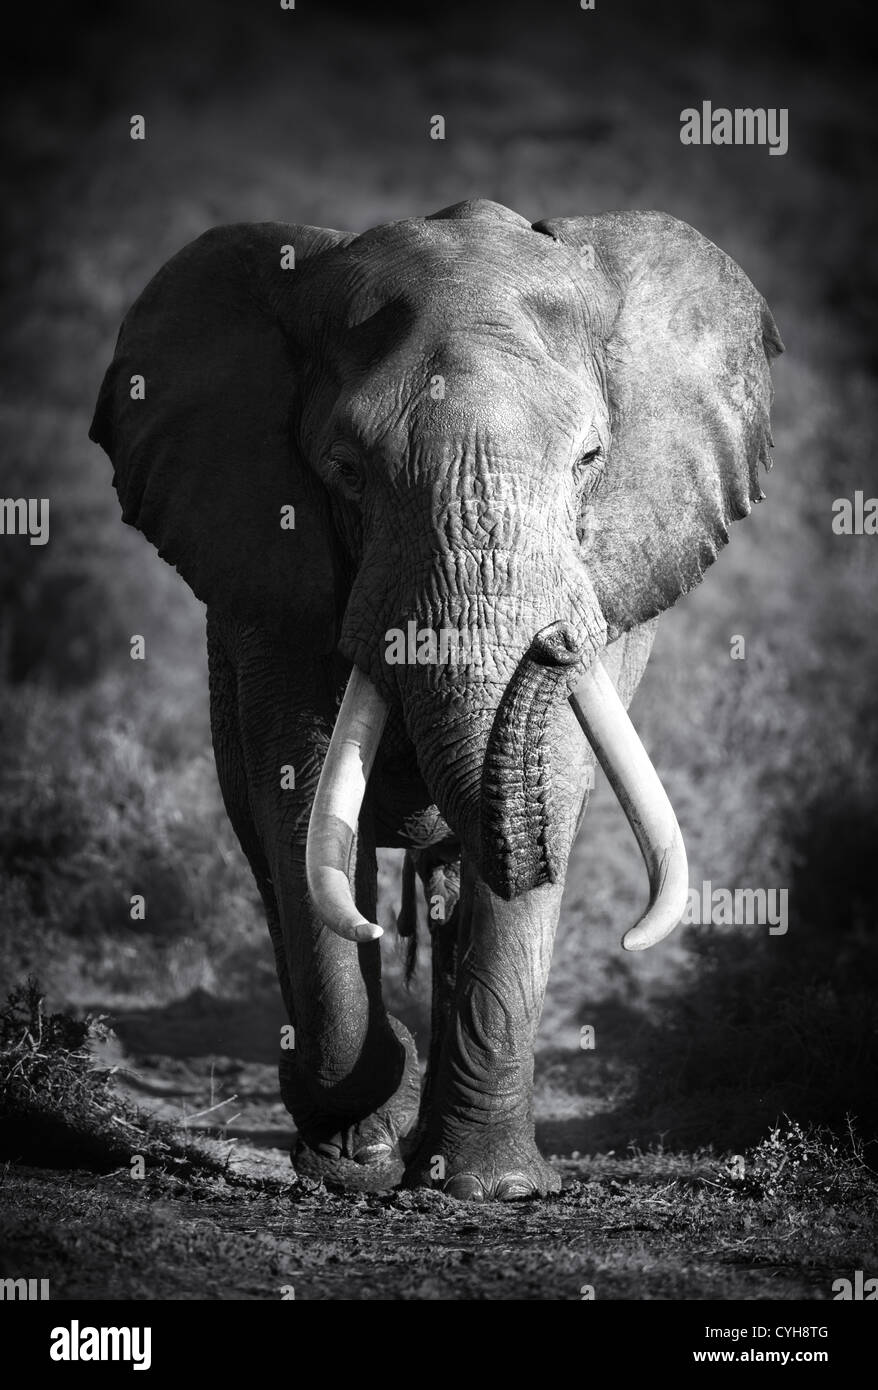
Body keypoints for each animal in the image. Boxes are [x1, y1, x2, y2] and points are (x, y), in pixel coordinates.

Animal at [92, 201, 783, 1200]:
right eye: (345, 470)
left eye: (591, 459)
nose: (555, 642)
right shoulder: (272, 574)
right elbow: (298, 797)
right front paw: (355, 1154)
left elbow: (552, 789)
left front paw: (492, 1189)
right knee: (269, 849)